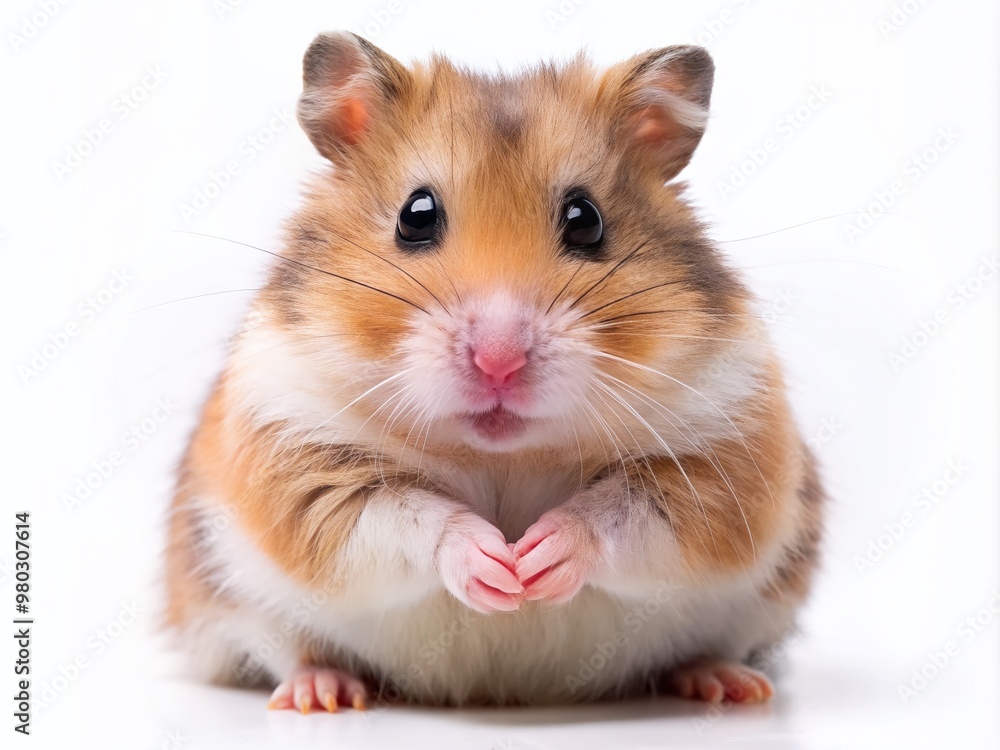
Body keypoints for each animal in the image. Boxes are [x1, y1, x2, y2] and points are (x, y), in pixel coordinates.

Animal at [164, 32, 825, 711]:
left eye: (586, 219)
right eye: (415, 215)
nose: (499, 360)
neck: (505, 454)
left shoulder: (724, 458)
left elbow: (625, 516)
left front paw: (534, 562)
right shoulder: (295, 460)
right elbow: (403, 517)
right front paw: (498, 566)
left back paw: (726, 684)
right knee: (290, 648)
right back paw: (321, 692)